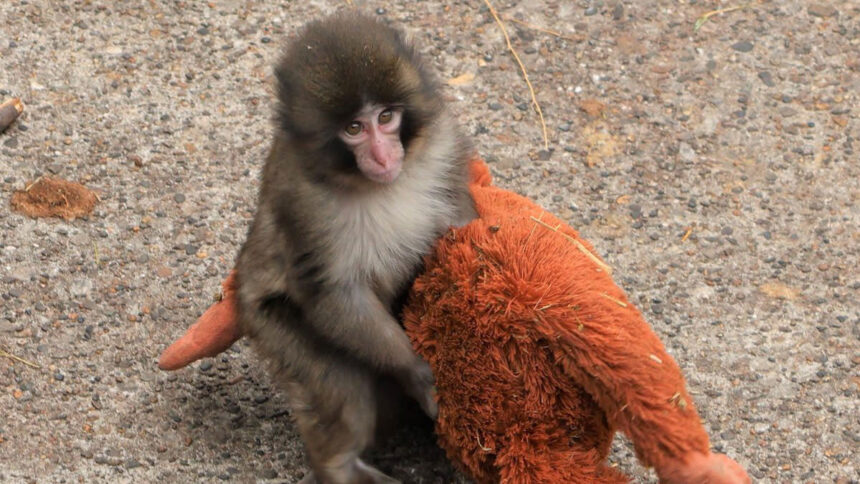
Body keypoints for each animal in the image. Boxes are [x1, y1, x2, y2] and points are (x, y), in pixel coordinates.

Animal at [235, 13, 476, 484]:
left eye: (385, 117)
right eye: (353, 129)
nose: (383, 156)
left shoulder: (443, 147)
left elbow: (461, 220)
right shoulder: (304, 204)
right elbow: (333, 294)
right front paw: (416, 372)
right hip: (269, 324)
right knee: (342, 381)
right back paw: (339, 465)